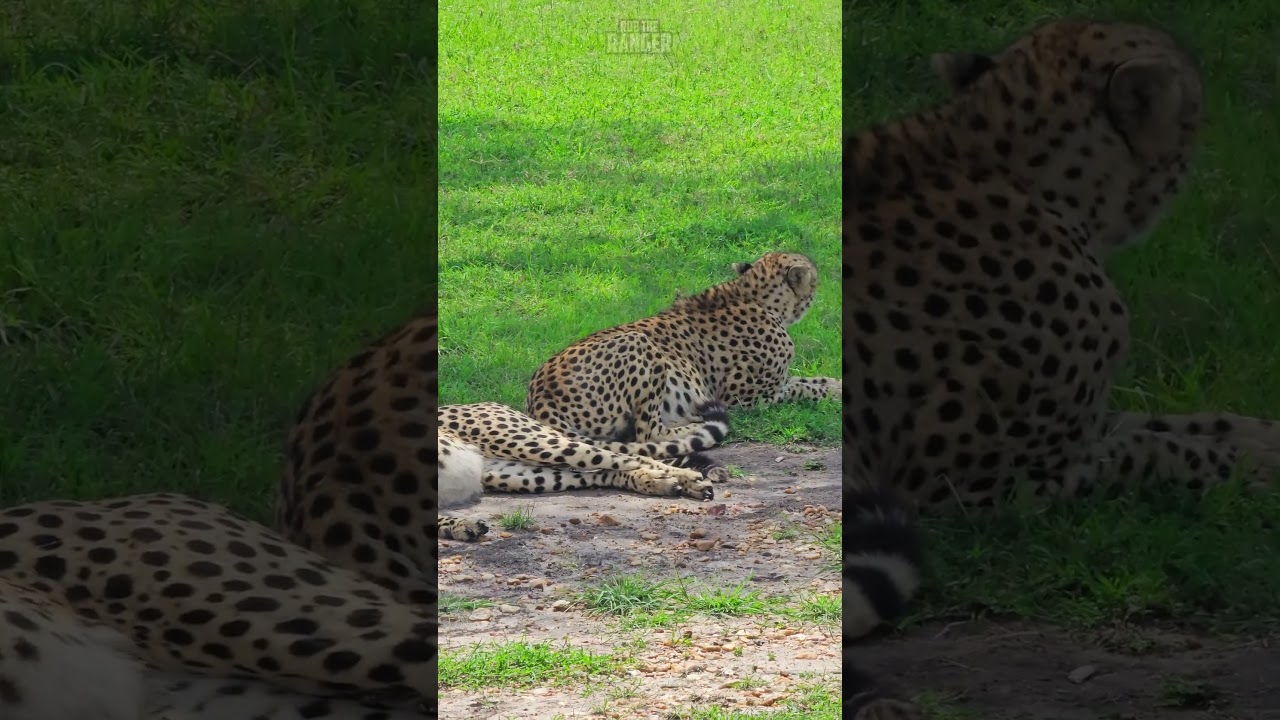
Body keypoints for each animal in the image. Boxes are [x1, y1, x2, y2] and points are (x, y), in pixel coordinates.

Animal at [524, 251, 841, 467]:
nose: (821, 280)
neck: (754, 296)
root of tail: (537, 397)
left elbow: (809, 379)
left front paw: (835, 384)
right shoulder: (748, 397)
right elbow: (802, 387)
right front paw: (832, 392)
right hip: (639, 343)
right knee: (648, 433)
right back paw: (695, 423)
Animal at [842, 17, 1280, 715]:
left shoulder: (1078, 422)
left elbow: (1181, 423)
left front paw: (1263, 442)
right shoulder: (963, 486)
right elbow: (1151, 451)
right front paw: (1251, 468)